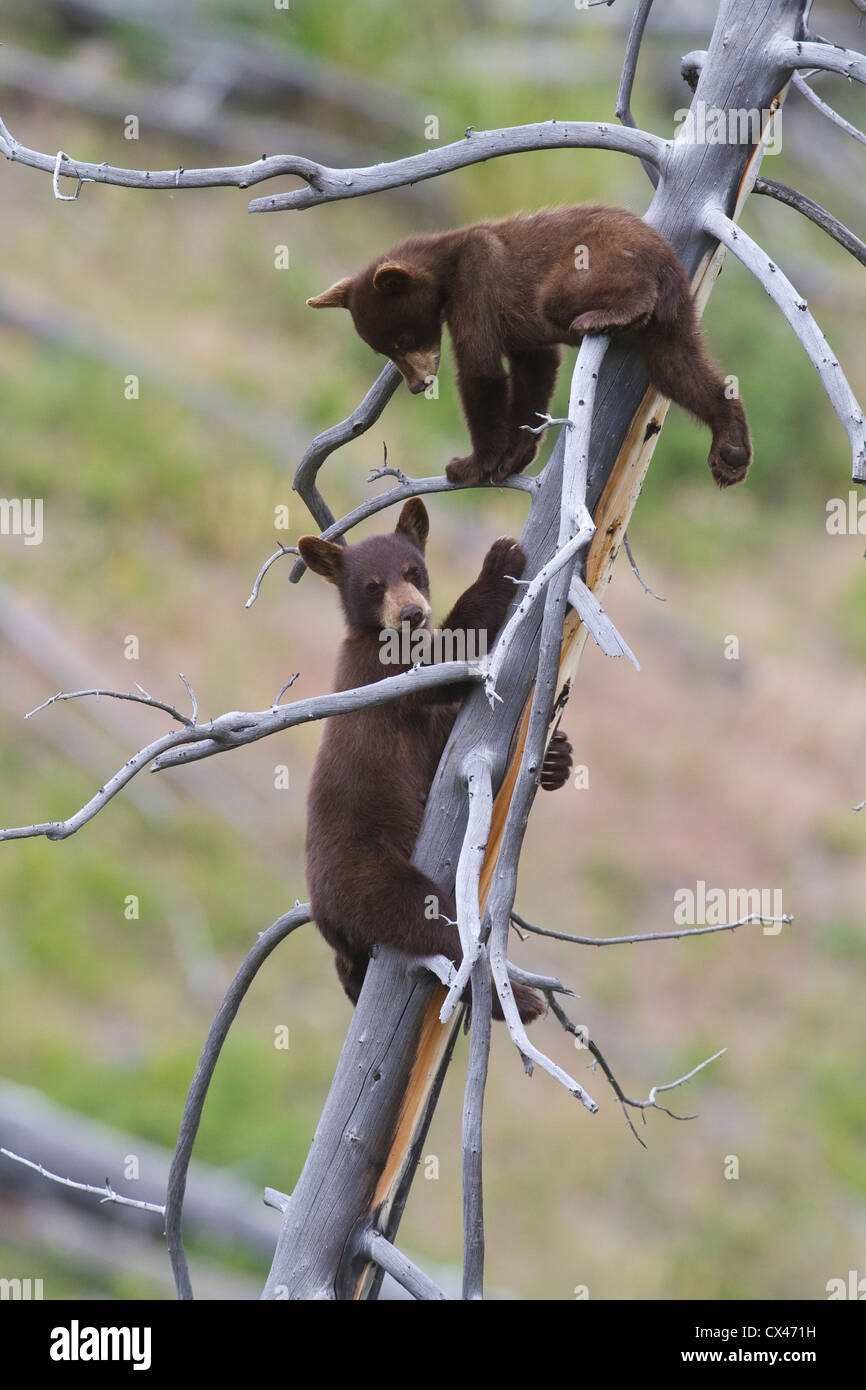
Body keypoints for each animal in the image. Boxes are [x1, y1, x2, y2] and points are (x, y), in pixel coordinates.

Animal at [298, 498, 572, 1024]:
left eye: (413, 570)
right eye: (373, 585)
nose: (410, 611)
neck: (376, 634)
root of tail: (329, 927)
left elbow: (455, 726)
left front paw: (556, 759)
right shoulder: (384, 670)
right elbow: (448, 657)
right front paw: (499, 560)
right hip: (370, 876)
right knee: (434, 922)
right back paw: (519, 1001)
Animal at [307, 204, 752, 490]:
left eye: (404, 339)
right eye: (384, 351)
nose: (418, 385)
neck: (446, 265)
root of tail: (663, 258)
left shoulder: (478, 281)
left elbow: (482, 370)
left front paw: (471, 464)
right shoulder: (522, 336)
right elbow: (534, 368)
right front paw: (513, 456)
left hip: (593, 257)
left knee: (565, 296)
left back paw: (613, 313)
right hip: (673, 317)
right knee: (678, 368)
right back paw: (730, 447)